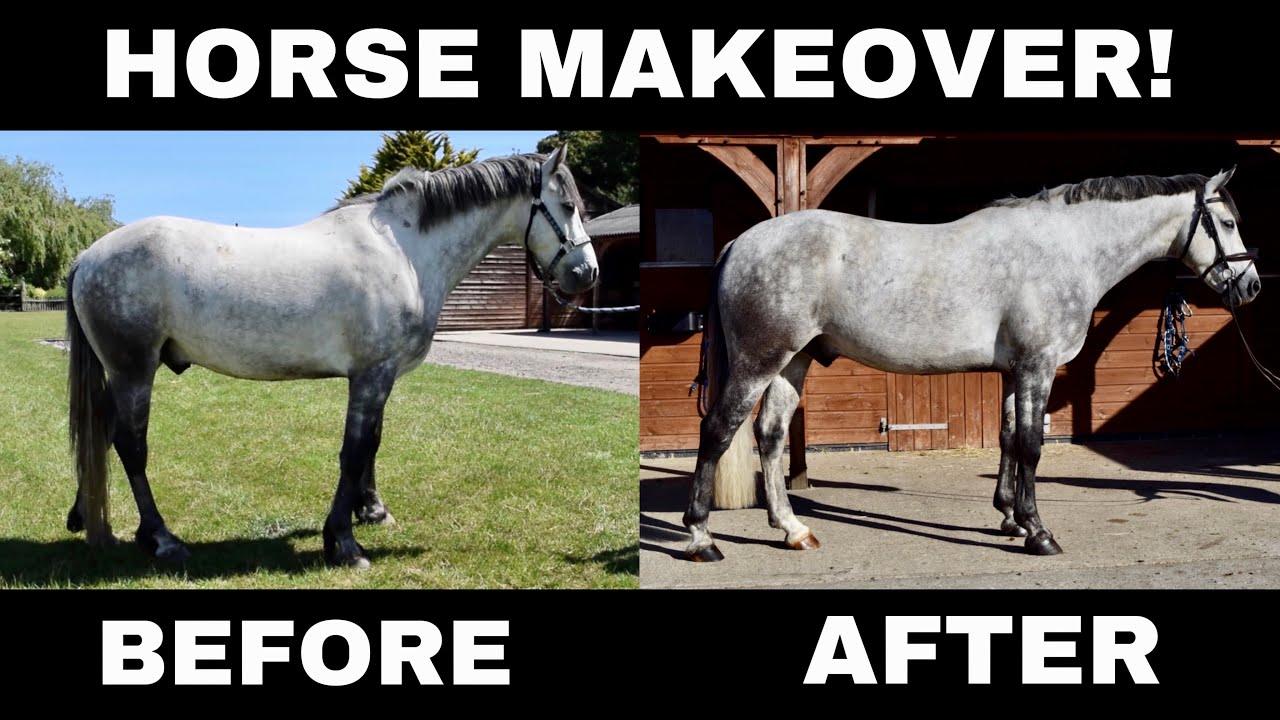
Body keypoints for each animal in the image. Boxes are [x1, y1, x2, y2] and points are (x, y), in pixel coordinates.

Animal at [63, 146, 599, 569]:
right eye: (567, 205)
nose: (586, 272)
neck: (404, 250)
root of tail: (87, 256)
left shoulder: (378, 376)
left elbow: (373, 443)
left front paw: (372, 510)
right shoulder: (371, 375)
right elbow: (355, 450)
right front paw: (343, 542)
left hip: (122, 374)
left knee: (101, 435)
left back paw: (86, 516)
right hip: (134, 371)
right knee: (130, 447)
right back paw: (160, 538)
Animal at [685, 167, 1260, 562]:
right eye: (1228, 222)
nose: (1251, 285)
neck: (1066, 248)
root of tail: (741, 242)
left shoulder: (1014, 372)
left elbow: (1007, 439)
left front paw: (1010, 518)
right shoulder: (1037, 367)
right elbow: (1031, 445)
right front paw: (1039, 532)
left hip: (794, 361)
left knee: (770, 434)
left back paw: (793, 529)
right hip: (761, 361)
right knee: (717, 431)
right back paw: (702, 537)